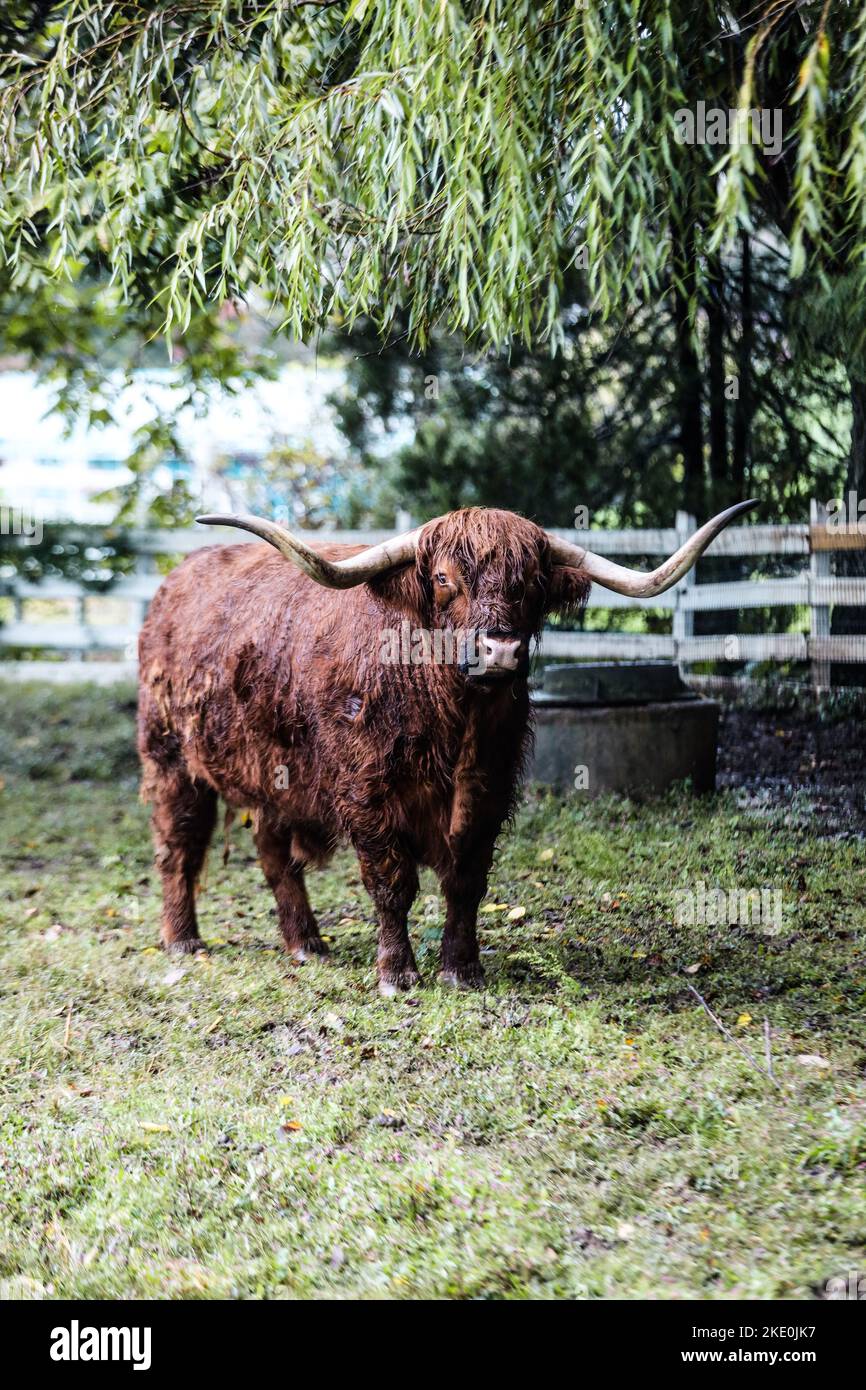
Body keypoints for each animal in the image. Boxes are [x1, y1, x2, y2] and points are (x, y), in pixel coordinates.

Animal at [137, 501, 753, 994]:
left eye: (531, 582)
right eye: (442, 577)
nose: (500, 649)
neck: (453, 723)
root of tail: (177, 578)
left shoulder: (489, 788)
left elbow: (466, 881)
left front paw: (462, 970)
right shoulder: (367, 792)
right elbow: (392, 883)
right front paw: (397, 974)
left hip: (275, 775)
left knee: (274, 854)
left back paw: (306, 944)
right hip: (170, 758)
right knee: (179, 846)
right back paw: (184, 940)